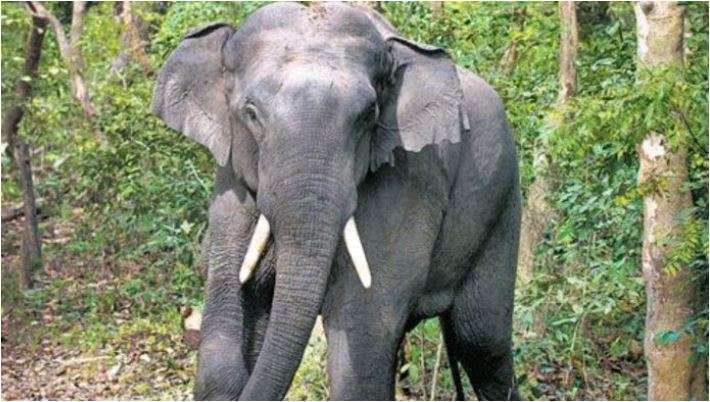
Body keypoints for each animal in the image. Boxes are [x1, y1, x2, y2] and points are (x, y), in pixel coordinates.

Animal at [152, 2, 521, 400]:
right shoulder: (231, 178)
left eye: (368, 115)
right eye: (251, 113)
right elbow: (228, 298)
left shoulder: (408, 177)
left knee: (480, 338)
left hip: (503, 204)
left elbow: (363, 320)